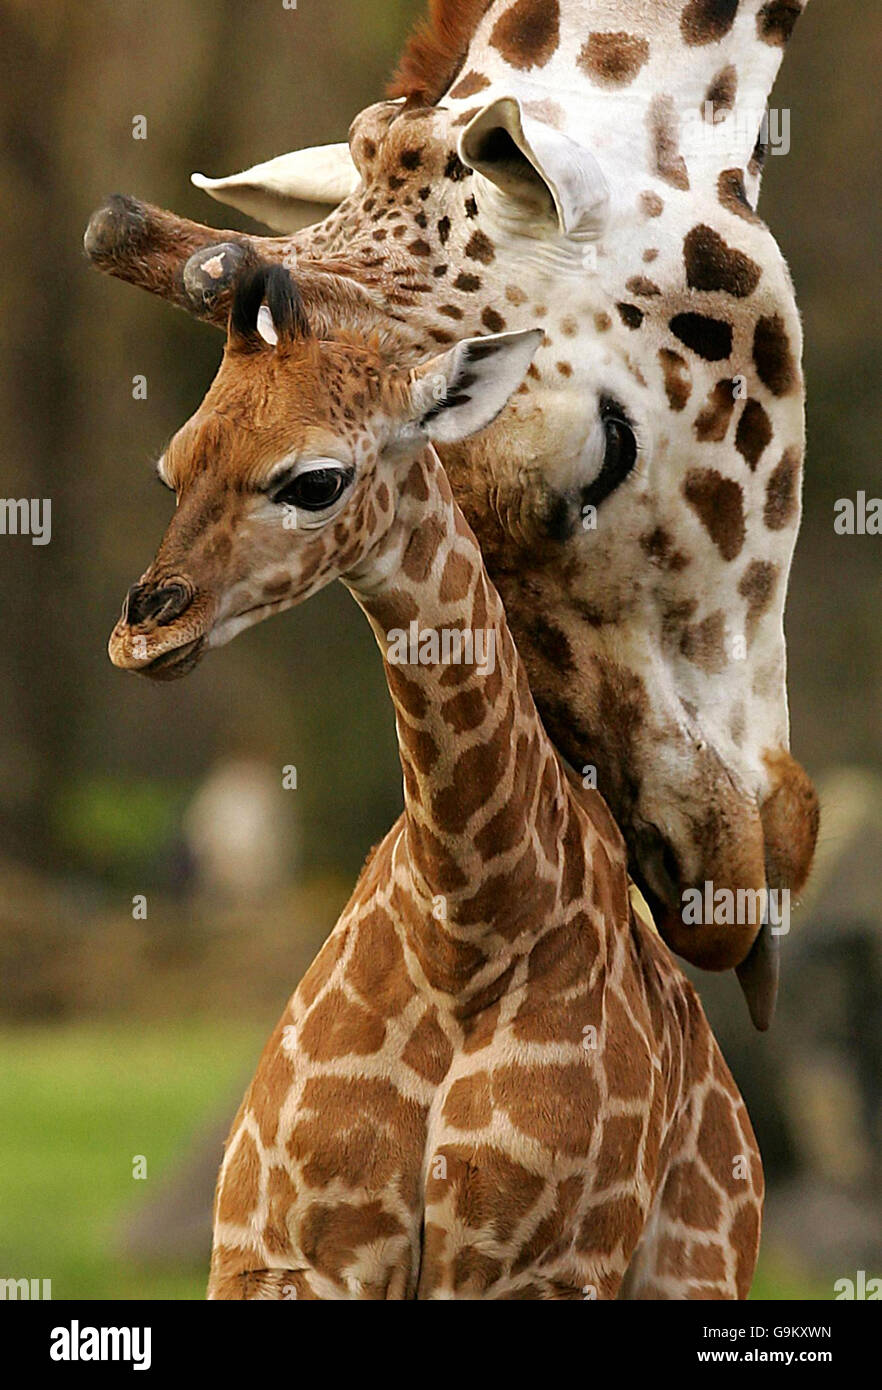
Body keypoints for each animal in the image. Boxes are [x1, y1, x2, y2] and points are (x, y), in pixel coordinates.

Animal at [108, 263, 764, 1299]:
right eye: (172, 468)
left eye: (316, 481)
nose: (146, 629)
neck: (462, 933)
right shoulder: (281, 1250)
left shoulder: (540, 1265)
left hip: (694, 1274)